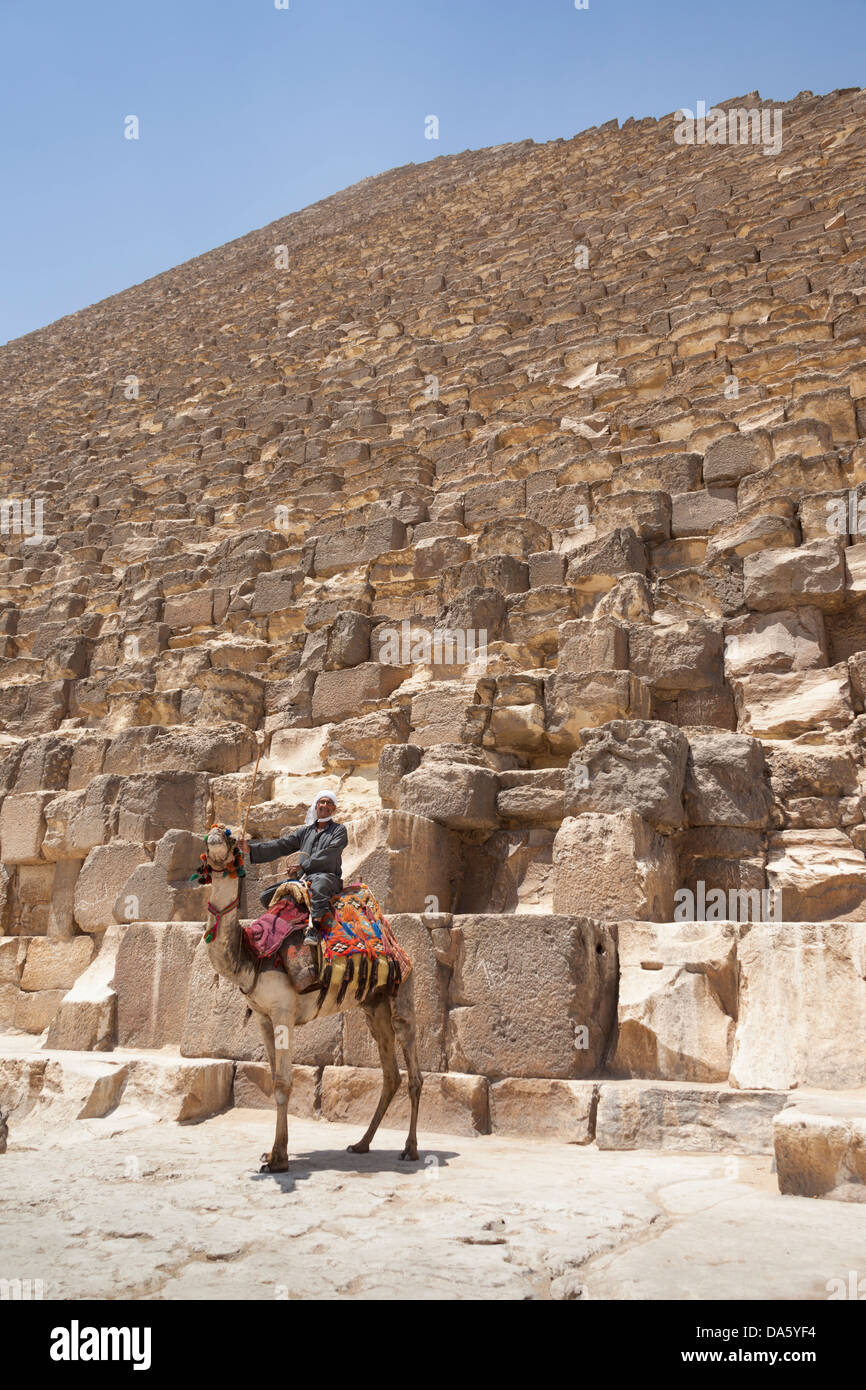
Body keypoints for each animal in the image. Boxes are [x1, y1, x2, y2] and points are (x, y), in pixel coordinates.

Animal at [199, 824, 422, 1172]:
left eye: (233, 840)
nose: (218, 833)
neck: (251, 954)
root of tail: (393, 938)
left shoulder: (283, 1012)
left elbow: (283, 1082)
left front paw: (278, 1159)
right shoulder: (262, 1017)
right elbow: (274, 1077)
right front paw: (273, 1153)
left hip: (402, 992)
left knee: (413, 1070)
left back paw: (410, 1149)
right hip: (374, 1005)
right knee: (390, 1075)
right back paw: (361, 1144)